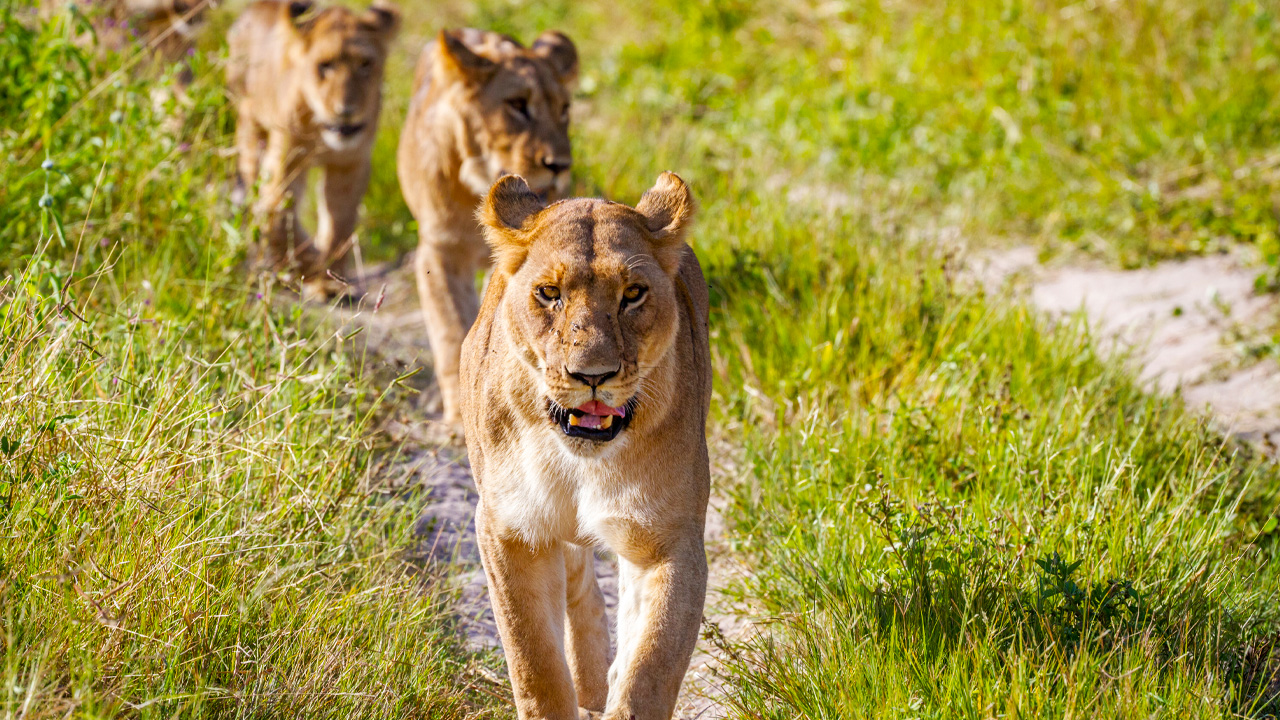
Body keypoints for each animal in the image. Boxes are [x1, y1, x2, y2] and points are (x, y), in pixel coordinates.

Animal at [227, 0, 399, 292]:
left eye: (365, 64)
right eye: (325, 65)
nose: (346, 111)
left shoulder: (350, 162)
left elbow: (339, 221)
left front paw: (332, 280)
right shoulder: (286, 161)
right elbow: (280, 213)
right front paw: (307, 267)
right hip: (249, 122)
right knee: (255, 189)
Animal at [397, 27, 577, 424]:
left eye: (564, 109)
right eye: (517, 104)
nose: (560, 165)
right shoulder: (439, 249)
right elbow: (451, 329)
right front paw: (457, 414)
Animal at [460, 172, 711, 720]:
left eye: (633, 294)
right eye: (548, 293)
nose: (592, 375)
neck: (580, 461)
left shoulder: (668, 539)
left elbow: (650, 668)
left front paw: (625, 690)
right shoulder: (509, 531)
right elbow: (534, 665)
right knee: (581, 593)